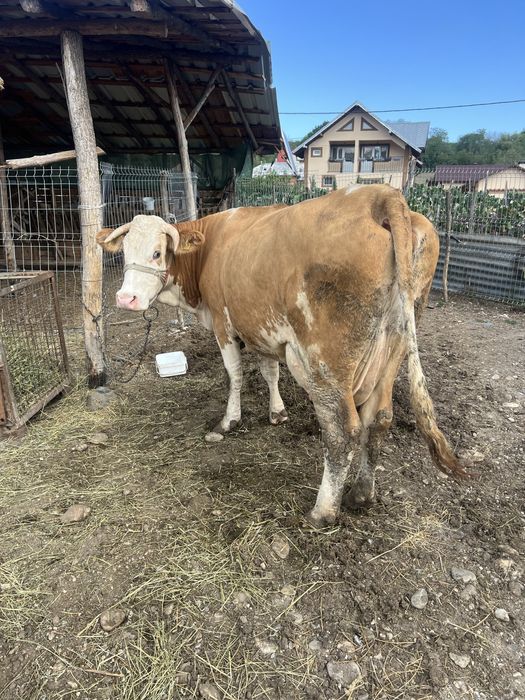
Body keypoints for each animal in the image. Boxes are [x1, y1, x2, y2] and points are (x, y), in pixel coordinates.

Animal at [97, 185, 469, 527]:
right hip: (395, 344)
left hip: (325, 362)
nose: (125, 299)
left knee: (342, 433)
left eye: (158, 252)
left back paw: (322, 512)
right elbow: (270, 371)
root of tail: (379, 193)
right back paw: (362, 495)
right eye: (123, 252)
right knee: (379, 419)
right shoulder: (261, 329)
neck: (209, 249)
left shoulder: (223, 323)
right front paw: (277, 412)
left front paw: (230, 420)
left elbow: (235, 375)